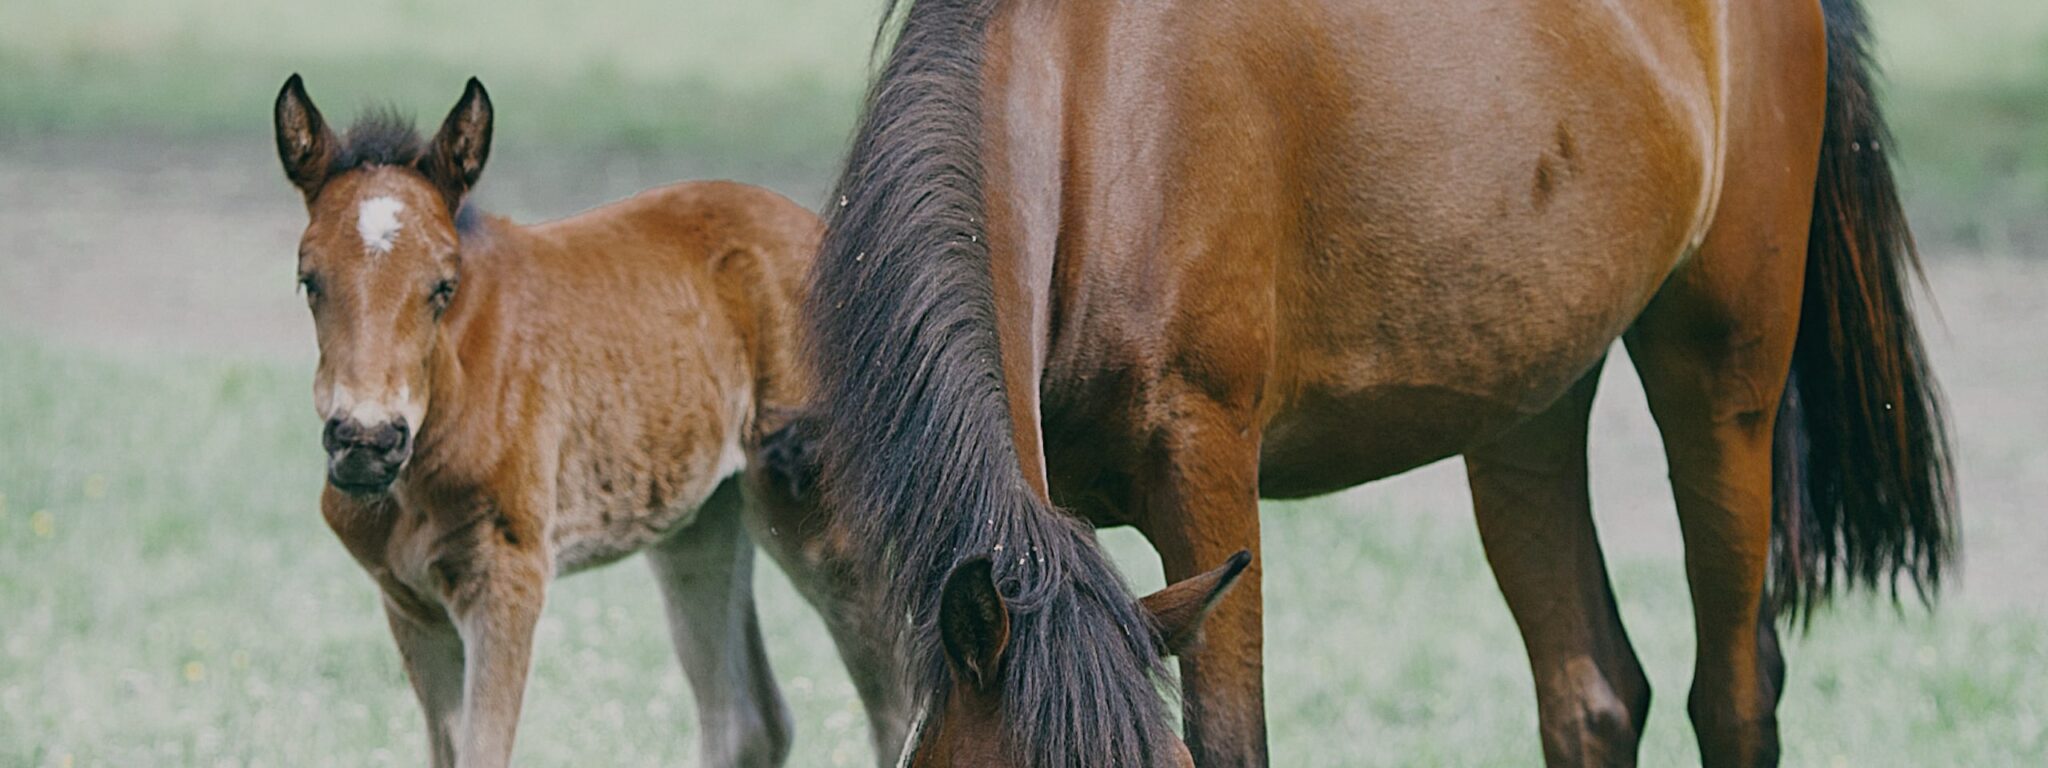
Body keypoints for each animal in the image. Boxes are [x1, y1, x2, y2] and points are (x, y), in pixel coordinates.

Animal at [270, 76, 911, 768]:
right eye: (308, 279)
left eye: (443, 285)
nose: (365, 441)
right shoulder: (410, 603)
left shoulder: (507, 578)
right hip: (701, 520)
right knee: (749, 721)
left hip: (813, 515)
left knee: (896, 712)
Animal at [781, 0, 1955, 765]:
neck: (1095, 115)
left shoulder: (1205, 468)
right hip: (1522, 402)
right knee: (1592, 694)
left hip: (1721, 378)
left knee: (1734, 694)